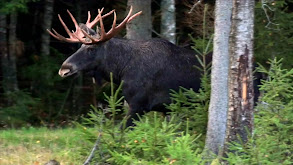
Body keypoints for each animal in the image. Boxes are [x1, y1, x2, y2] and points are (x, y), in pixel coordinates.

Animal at [47, 6, 205, 127]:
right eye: (80, 46)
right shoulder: (166, 109)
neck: (121, 71)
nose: (63, 69)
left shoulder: (139, 105)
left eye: (91, 49)